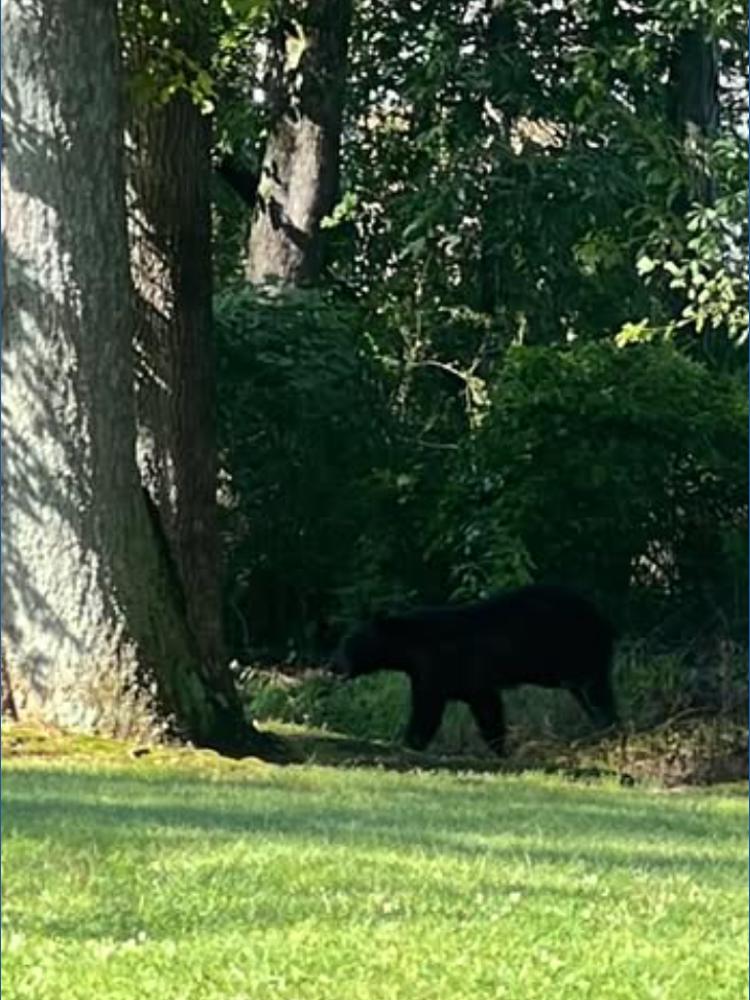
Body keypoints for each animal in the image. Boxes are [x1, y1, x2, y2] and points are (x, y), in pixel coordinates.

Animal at [330, 584, 618, 755]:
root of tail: (603, 618)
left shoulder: (440, 666)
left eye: (348, 642)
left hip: (581, 653)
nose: (332, 665)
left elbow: (429, 710)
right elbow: (484, 709)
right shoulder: (456, 678)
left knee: (596, 693)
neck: (411, 646)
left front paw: (410, 743)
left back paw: (608, 725)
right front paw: (500, 749)